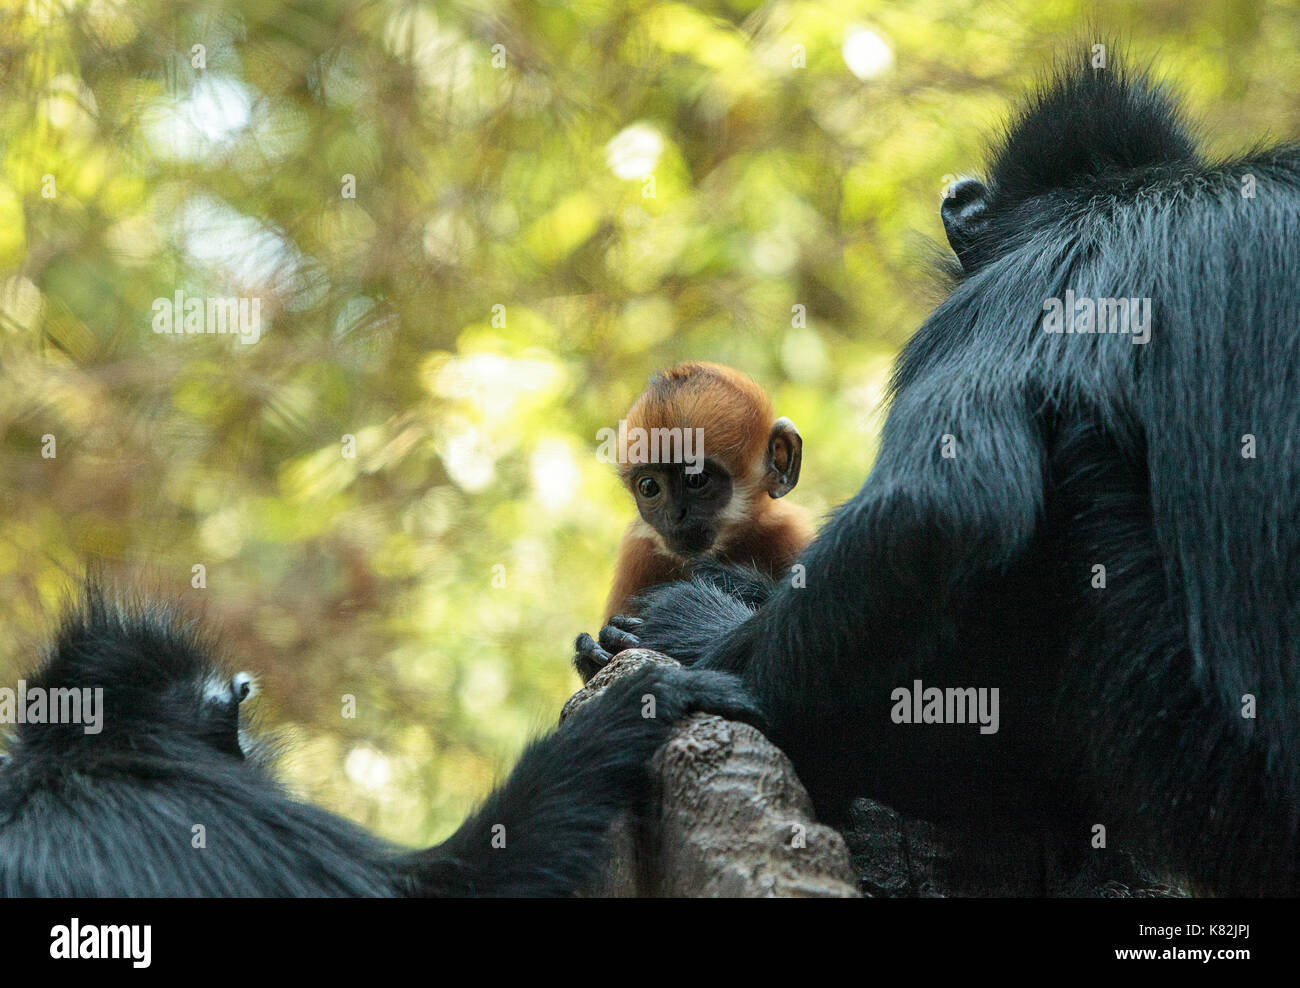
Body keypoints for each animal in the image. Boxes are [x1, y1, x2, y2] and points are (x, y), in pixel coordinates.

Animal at [576, 363, 811, 683]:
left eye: (696, 479)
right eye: (649, 486)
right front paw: (597, 648)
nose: (675, 514)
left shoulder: (789, 531)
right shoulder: (638, 552)